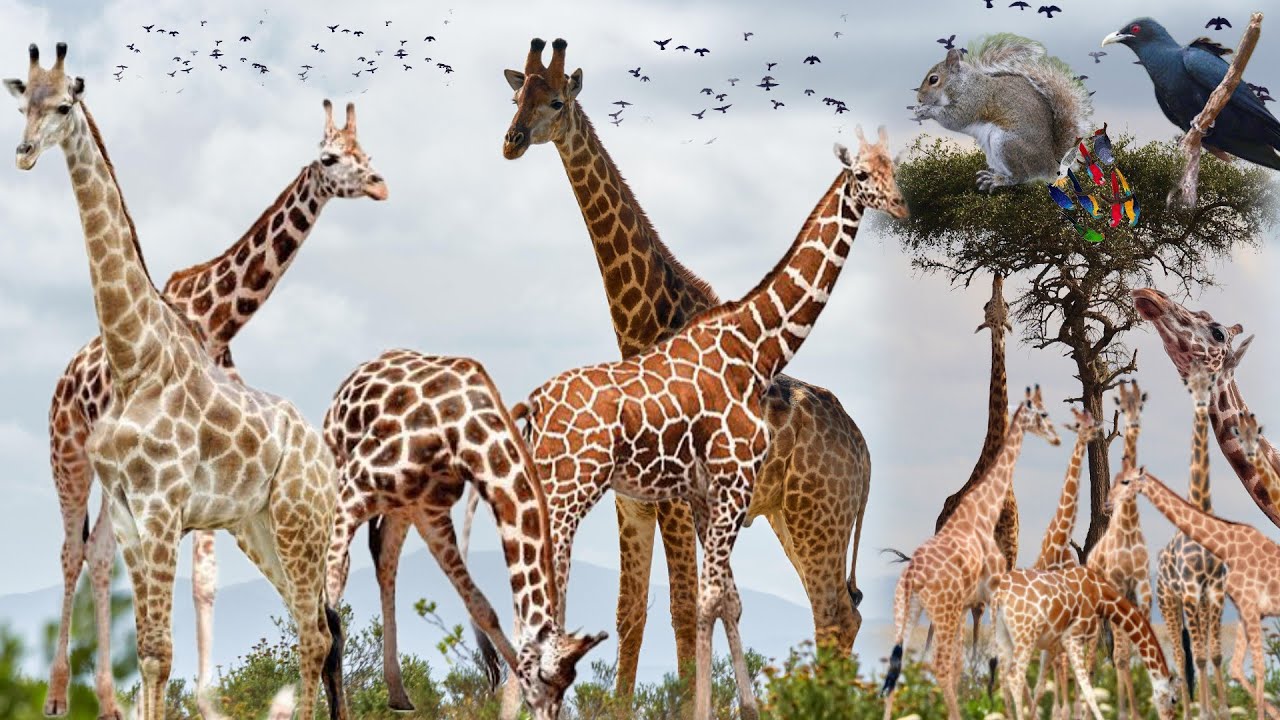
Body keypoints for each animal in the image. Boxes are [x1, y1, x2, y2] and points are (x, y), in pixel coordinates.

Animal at [6, 43, 339, 720]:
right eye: (22, 101)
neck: (135, 357)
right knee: (308, 625)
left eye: (63, 105)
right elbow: (150, 653)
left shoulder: (163, 510)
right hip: (257, 526)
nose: (24, 153)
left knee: (316, 632)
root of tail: (324, 454)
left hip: (300, 520)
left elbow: (161, 652)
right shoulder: (133, 517)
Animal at [320, 350, 607, 720]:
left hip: (402, 508)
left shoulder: (430, 510)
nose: (545, 714)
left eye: (569, 682)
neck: (464, 435)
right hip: (338, 468)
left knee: (384, 561)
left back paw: (398, 694)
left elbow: (481, 605)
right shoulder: (355, 488)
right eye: (545, 675)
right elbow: (330, 608)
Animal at [501, 37, 872, 692]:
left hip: (817, 518)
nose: (513, 140)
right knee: (838, 614)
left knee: (833, 614)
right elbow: (631, 613)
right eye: (516, 95)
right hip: (790, 519)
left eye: (556, 100)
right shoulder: (634, 503)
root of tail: (863, 449)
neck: (643, 323)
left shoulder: (674, 501)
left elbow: (680, 607)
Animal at [989, 566, 1179, 720]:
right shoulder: (1073, 637)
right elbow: (1088, 691)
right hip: (1026, 635)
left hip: (1003, 637)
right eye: (1173, 699)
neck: (1102, 596)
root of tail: (999, 595)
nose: (1168, 718)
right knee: (1015, 677)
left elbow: (1040, 688)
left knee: (1004, 679)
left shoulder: (1052, 645)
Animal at [1110, 466, 1280, 720]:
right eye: (1115, 479)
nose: (1107, 502)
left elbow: (1257, 667)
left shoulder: (1249, 606)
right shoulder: (1245, 610)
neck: (1227, 547)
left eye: (1126, 481)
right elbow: (1236, 667)